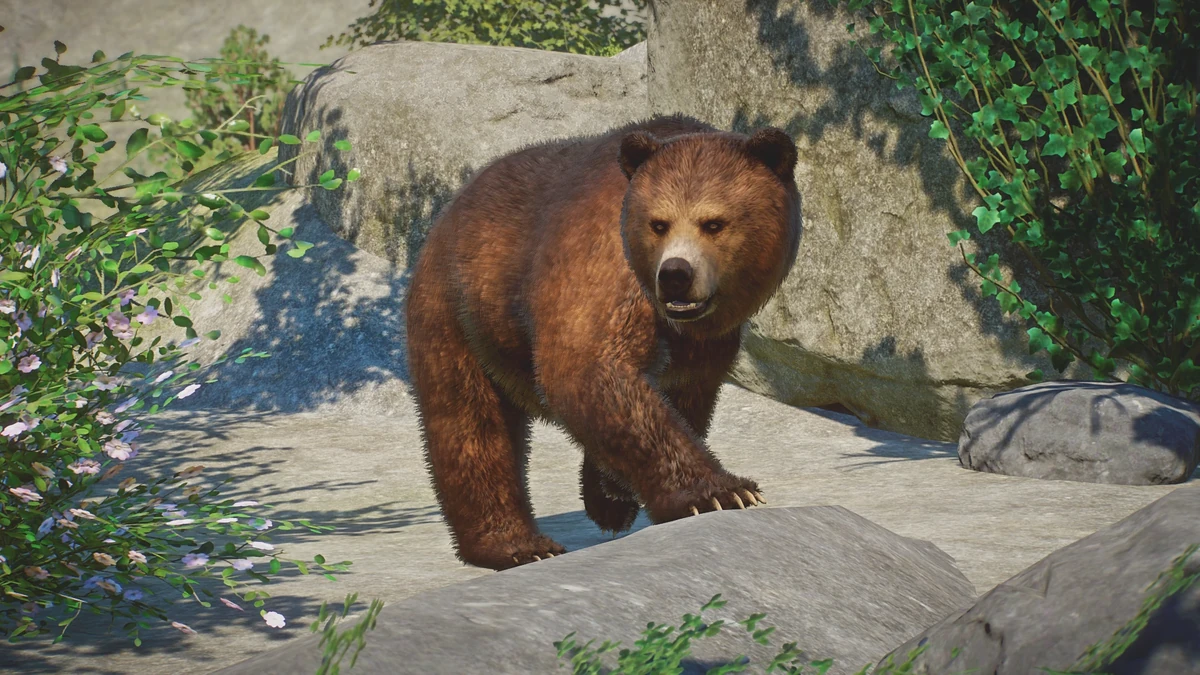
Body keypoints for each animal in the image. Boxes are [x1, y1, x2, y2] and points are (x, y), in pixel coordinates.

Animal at [405, 113, 802, 571]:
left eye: (714, 223)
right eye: (659, 223)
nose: (676, 275)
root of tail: (447, 211)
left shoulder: (705, 347)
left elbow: (675, 399)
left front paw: (611, 496)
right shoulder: (602, 267)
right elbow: (588, 368)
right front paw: (724, 491)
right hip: (458, 313)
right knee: (469, 424)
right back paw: (519, 545)